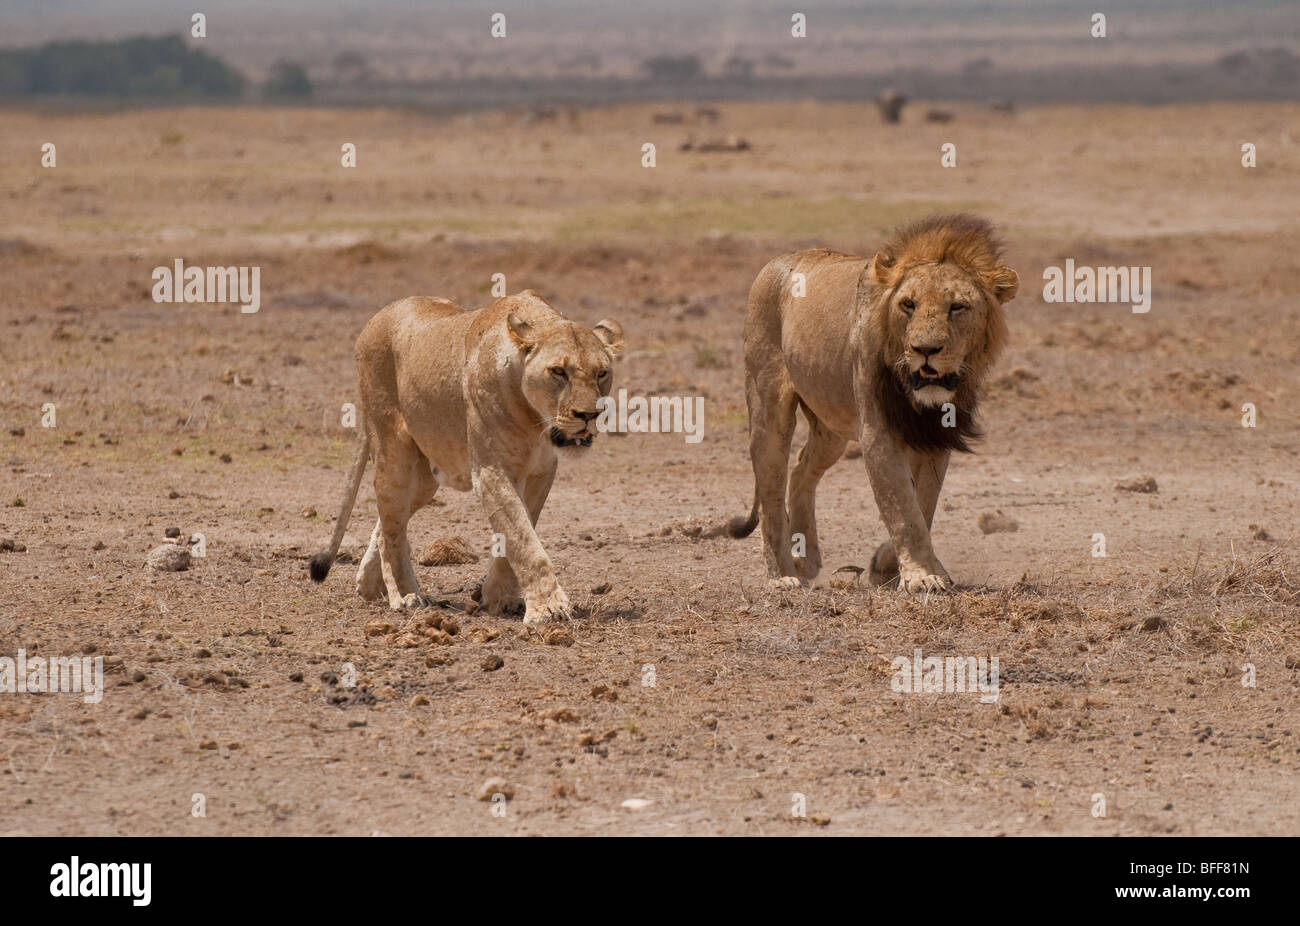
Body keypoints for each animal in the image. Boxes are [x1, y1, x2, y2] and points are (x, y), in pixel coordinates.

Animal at [308, 290, 624, 625]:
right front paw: (549, 608)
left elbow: (515, 535)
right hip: (392, 448)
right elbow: (523, 539)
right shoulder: (489, 471)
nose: (588, 415)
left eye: (602, 373)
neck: (535, 420)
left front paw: (498, 597)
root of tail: (377, 317)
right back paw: (405, 596)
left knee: (389, 522)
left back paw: (369, 584)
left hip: (424, 479)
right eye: (558, 371)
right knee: (392, 528)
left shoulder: (541, 473)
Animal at [726, 214, 1018, 593]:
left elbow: (923, 503)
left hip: (831, 426)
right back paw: (783, 575)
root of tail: (779, 260)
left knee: (802, 466)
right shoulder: (879, 433)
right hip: (769, 405)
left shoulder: (935, 436)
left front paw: (886, 565)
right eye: (908, 305)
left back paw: (806, 558)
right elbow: (903, 508)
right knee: (771, 492)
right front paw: (922, 576)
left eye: (957, 307)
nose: (926, 350)